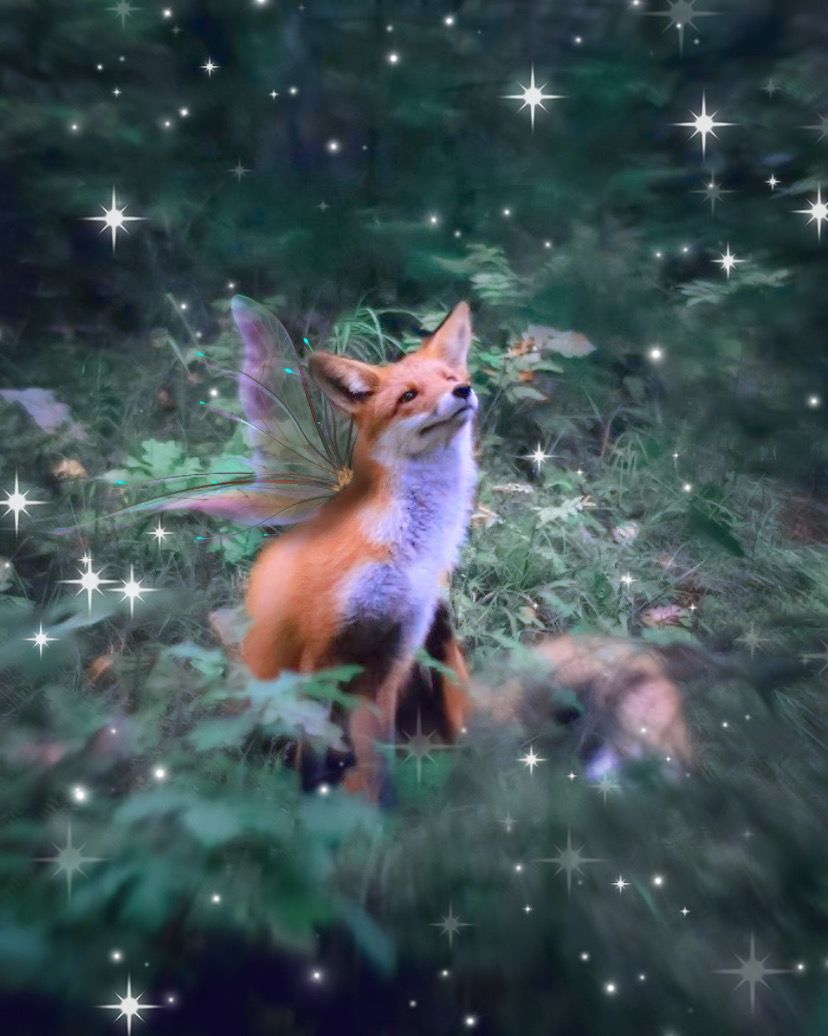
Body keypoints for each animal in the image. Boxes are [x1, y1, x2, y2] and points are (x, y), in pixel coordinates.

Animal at [239, 301, 478, 802]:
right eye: (408, 396)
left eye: (450, 377)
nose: (463, 390)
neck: (405, 553)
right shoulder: (322, 650)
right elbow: (312, 755)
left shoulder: (392, 659)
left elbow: (377, 762)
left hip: (439, 644)